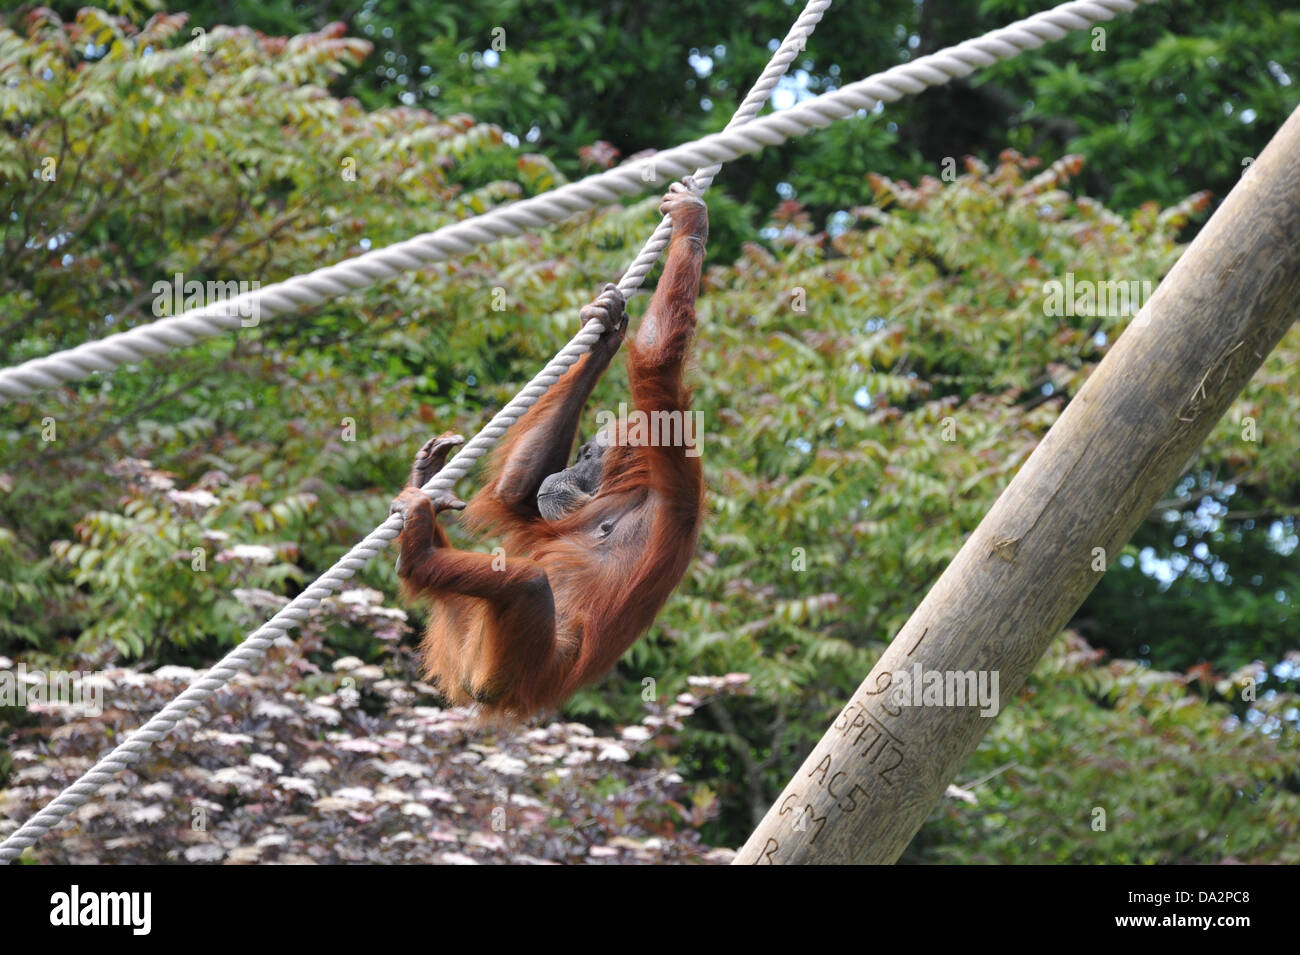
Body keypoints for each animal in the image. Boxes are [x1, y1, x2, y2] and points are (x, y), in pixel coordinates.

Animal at [390, 178, 709, 719]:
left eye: (586, 457)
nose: (569, 469)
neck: (633, 495)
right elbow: (517, 494)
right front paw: (604, 334)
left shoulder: (678, 476)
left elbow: (656, 358)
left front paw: (691, 220)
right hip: (470, 638)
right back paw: (426, 490)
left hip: (512, 665)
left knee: (527, 583)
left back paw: (418, 552)